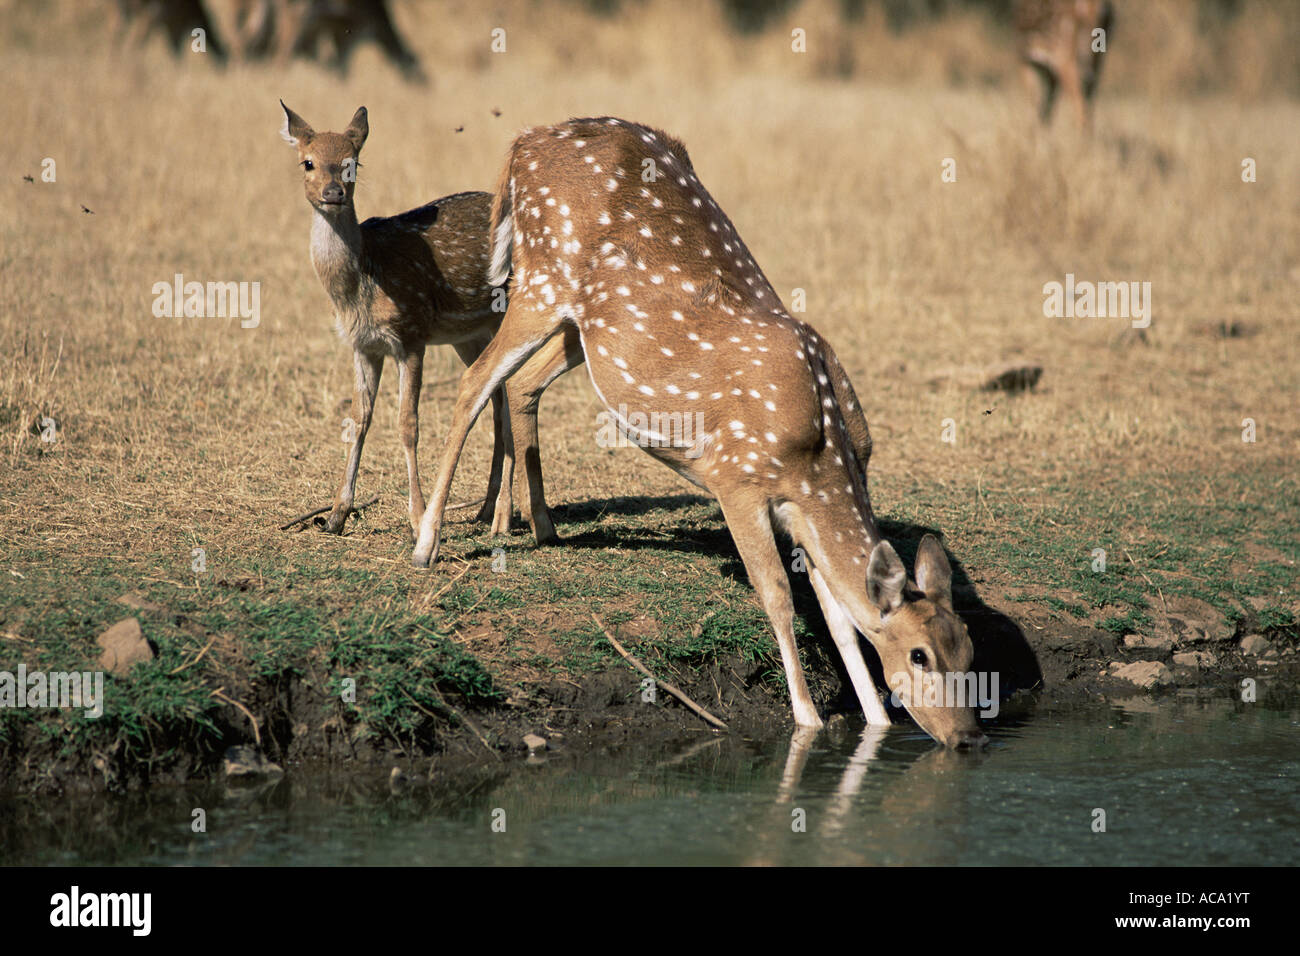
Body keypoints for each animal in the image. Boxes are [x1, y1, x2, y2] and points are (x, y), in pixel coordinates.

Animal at [279, 103, 581, 541]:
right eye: (308, 162)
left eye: (353, 162)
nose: (333, 192)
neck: (362, 282)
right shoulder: (363, 346)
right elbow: (358, 420)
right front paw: (335, 516)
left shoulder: (411, 334)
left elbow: (408, 424)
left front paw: (416, 517)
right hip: (468, 336)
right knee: (496, 401)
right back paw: (485, 511)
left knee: (506, 401)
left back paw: (503, 518)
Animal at [409, 117, 988, 748]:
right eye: (919, 655)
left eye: (968, 649)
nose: (967, 737)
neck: (821, 455)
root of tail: (526, 142)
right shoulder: (736, 478)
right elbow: (777, 595)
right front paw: (807, 721)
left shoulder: (799, 511)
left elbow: (840, 619)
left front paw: (876, 725)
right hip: (540, 277)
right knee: (474, 382)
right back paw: (425, 543)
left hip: (582, 325)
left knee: (520, 385)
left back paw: (542, 527)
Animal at [1014, 0, 1113, 131]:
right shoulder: (1049, 71)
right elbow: (1047, 107)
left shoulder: (1024, 57)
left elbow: (1032, 102)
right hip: (1097, 59)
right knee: (1089, 105)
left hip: (1065, 55)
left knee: (1080, 107)